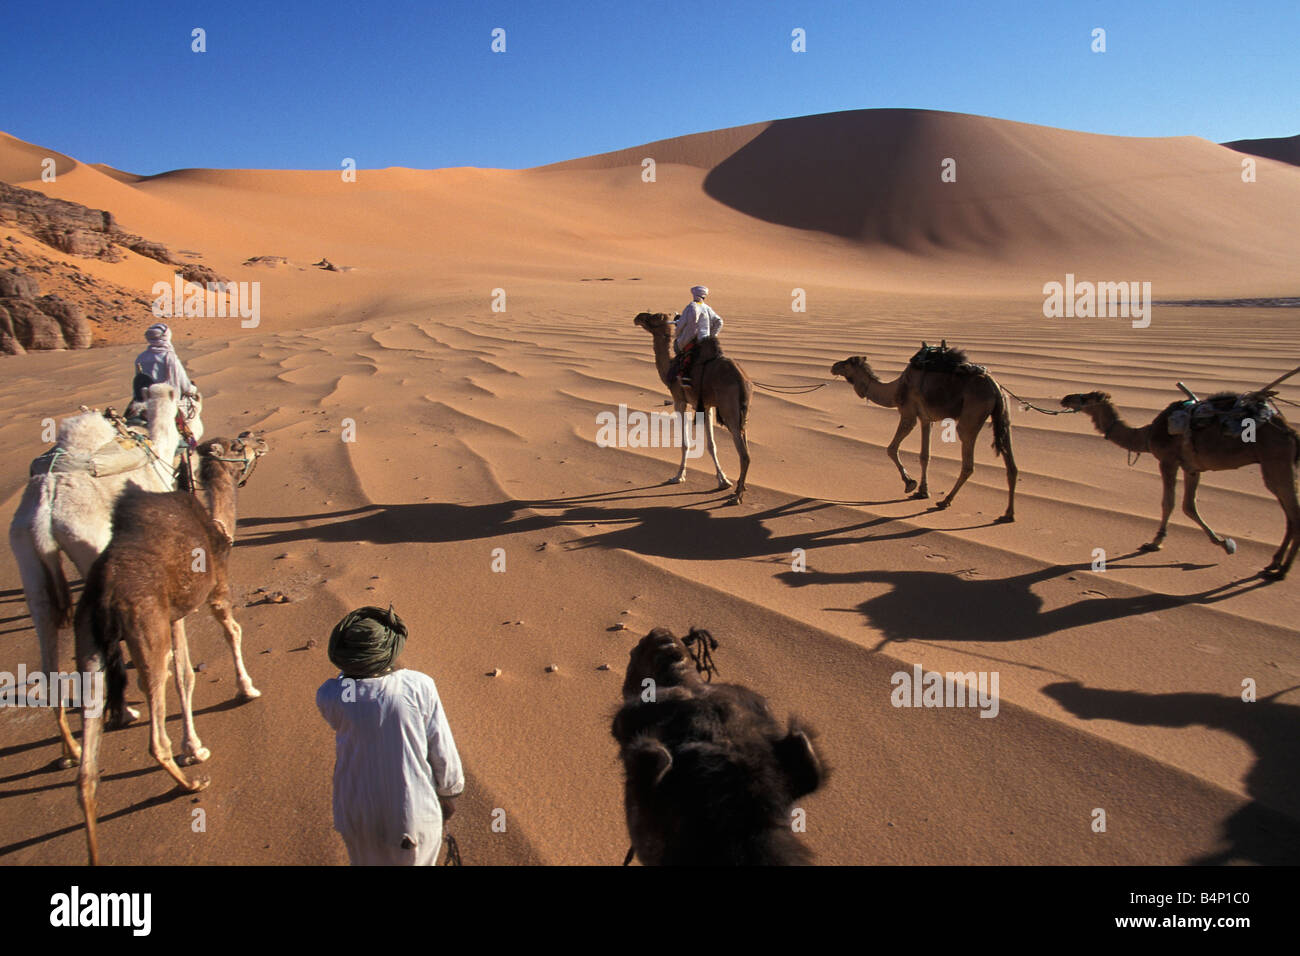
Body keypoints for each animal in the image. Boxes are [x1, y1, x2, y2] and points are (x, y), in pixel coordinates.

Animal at [7, 383, 200, 767]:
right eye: (187, 401)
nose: (196, 399)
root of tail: (47, 506)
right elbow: (180, 665)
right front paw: (192, 747)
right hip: (95, 552)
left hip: (27, 557)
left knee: (50, 662)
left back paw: (73, 750)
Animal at [74, 432, 269, 865]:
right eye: (238, 446)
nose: (258, 440)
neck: (218, 522)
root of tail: (104, 594)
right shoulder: (215, 590)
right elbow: (231, 633)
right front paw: (246, 689)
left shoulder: (177, 615)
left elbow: (182, 674)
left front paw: (193, 741)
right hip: (146, 627)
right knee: (154, 734)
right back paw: (191, 783)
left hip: (90, 649)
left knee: (87, 770)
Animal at [633, 312, 753, 504]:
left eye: (654, 317)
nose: (637, 317)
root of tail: (743, 380)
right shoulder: (707, 406)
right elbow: (711, 444)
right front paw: (723, 480)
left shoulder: (679, 400)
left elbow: (685, 442)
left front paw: (678, 476)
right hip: (743, 413)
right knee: (745, 444)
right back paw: (740, 488)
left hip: (730, 412)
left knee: (744, 454)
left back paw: (737, 496)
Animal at [831, 346, 1018, 522]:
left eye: (847, 363)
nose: (833, 366)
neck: (895, 389)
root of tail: (996, 388)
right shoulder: (926, 419)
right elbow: (924, 456)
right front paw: (922, 491)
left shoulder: (909, 413)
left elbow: (891, 449)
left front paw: (910, 483)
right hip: (1003, 417)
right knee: (1011, 465)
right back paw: (1008, 514)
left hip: (972, 414)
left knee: (968, 462)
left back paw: (945, 501)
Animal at [1060, 391, 1300, 578]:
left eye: (1085, 397)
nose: (1065, 398)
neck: (1147, 434)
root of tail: (1291, 431)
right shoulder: (1192, 467)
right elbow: (1189, 506)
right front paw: (1224, 543)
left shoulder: (1168, 460)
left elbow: (1169, 503)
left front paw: (1154, 542)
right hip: (1274, 467)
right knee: (1289, 514)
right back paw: (1274, 563)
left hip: (1275, 462)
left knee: (1293, 511)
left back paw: (1282, 570)